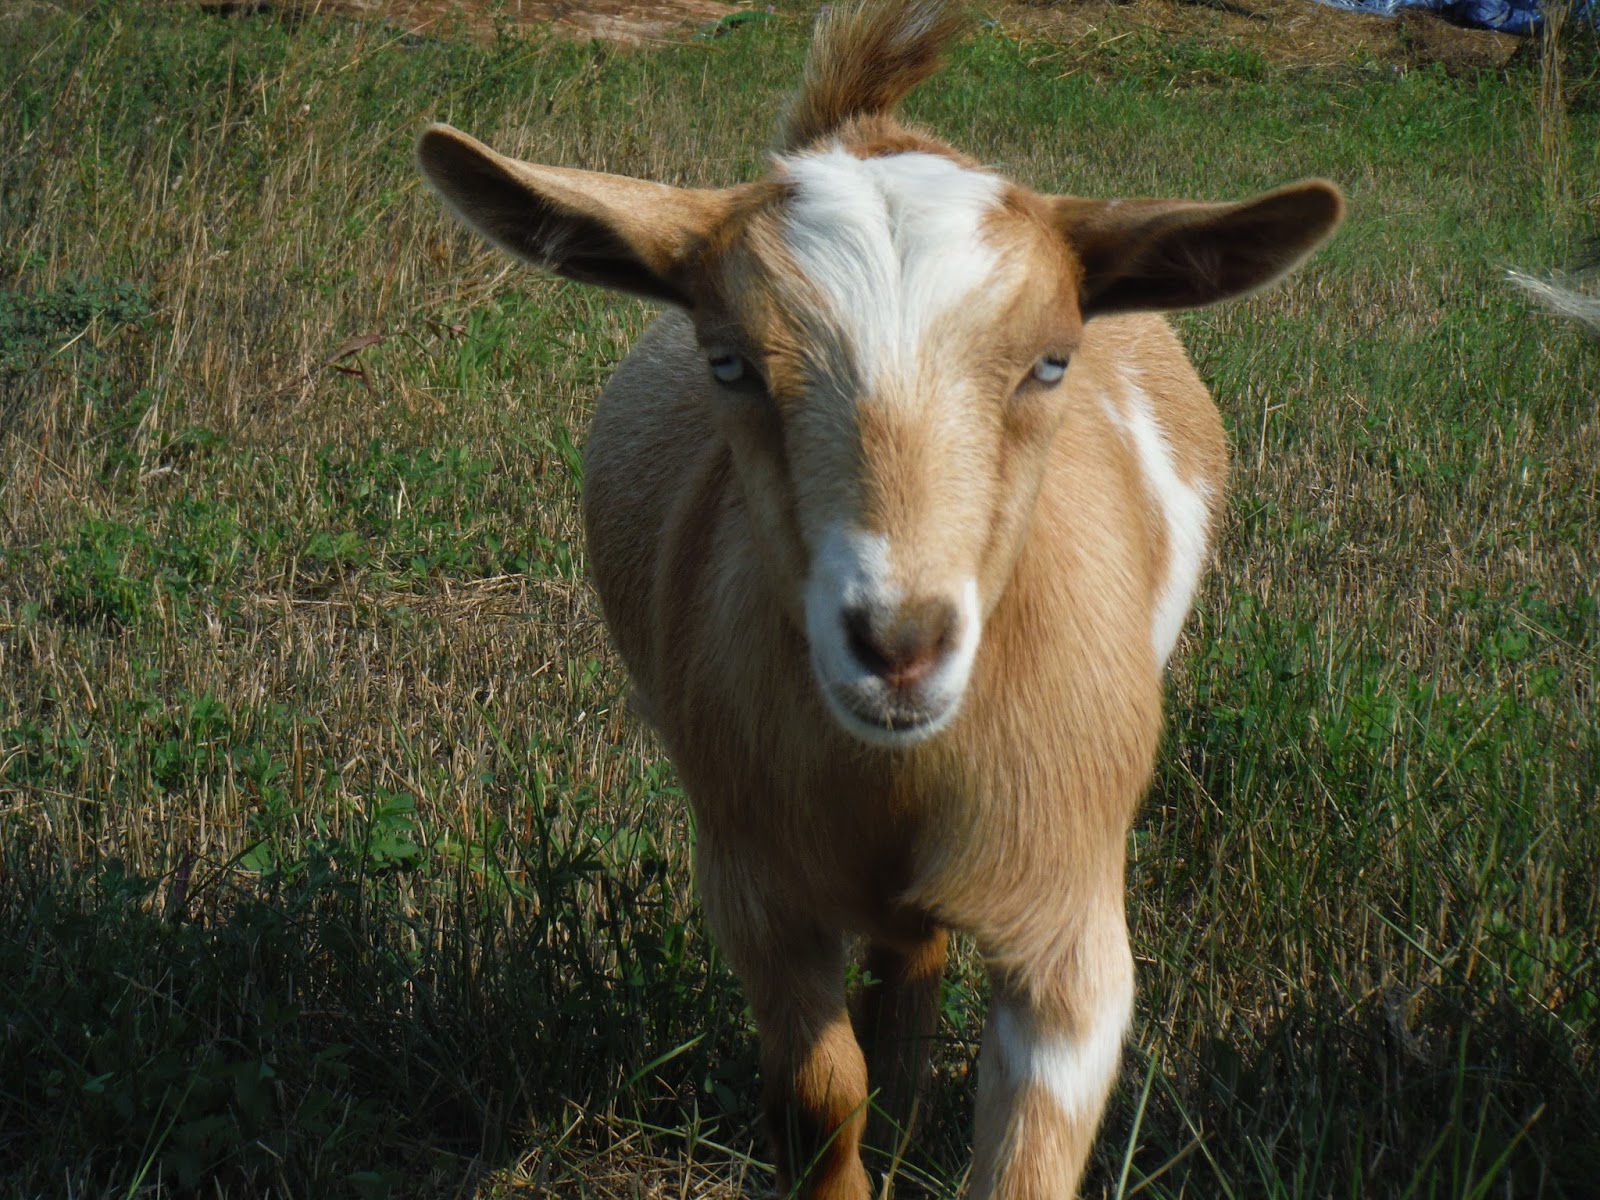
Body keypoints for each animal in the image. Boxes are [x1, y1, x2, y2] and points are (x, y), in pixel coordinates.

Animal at [418, 2, 1343, 1194]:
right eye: (728, 363)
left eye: (1052, 362)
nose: (898, 643)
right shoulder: (753, 883)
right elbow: (822, 1096)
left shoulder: (1071, 919)